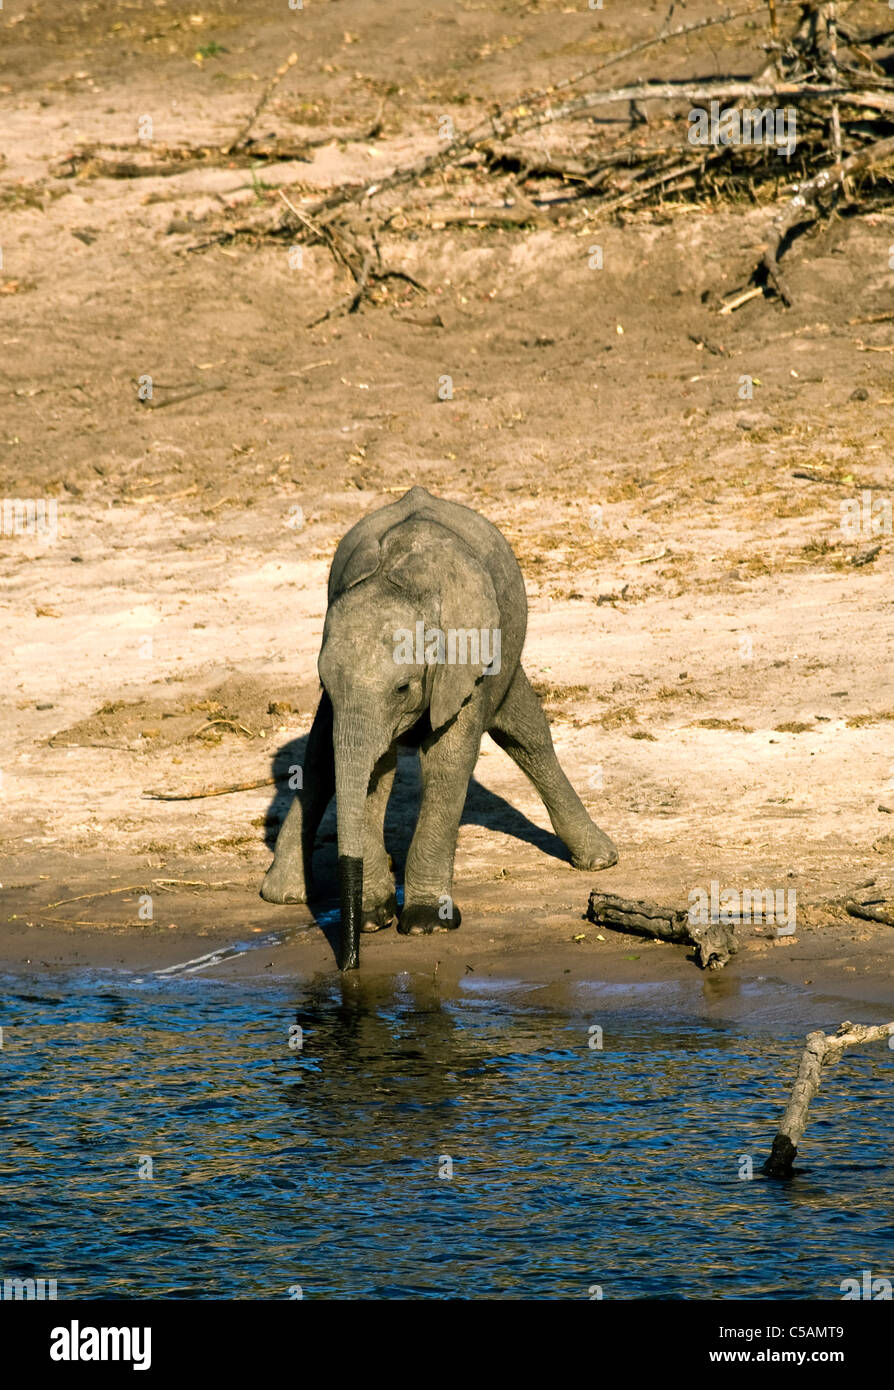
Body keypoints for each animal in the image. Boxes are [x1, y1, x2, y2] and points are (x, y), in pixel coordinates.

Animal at [261, 485, 618, 969]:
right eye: (323, 680)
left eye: (402, 687)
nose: (349, 963)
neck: (401, 585)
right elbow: (372, 773)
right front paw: (373, 918)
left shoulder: (465, 659)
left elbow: (447, 762)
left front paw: (427, 923)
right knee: (317, 760)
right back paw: (283, 894)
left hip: (503, 658)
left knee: (529, 736)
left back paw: (599, 862)